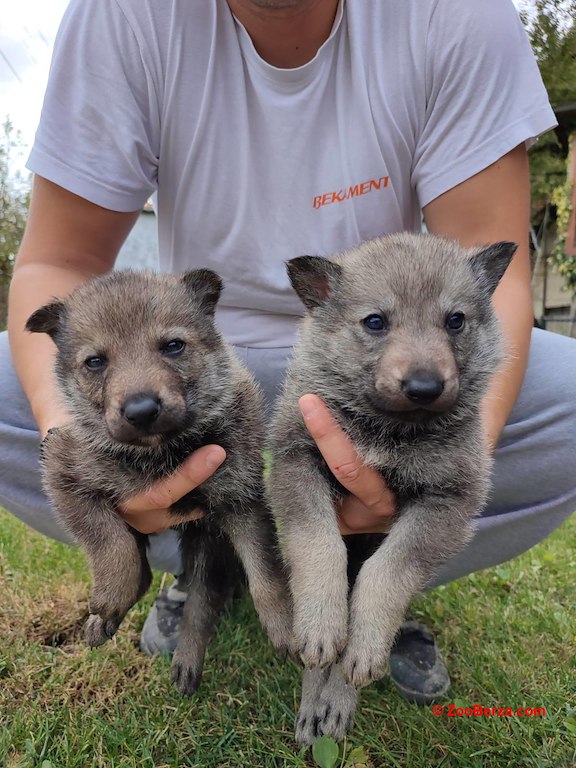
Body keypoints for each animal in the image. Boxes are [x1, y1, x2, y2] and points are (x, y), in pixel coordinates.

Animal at [26, 270, 290, 696]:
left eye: (173, 346)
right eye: (95, 362)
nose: (141, 410)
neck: (163, 453)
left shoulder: (242, 499)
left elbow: (265, 572)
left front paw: (285, 626)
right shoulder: (64, 472)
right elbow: (110, 542)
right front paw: (111, 597)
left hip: (206, 544)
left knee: (202, 600)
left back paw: (186, 663)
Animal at [268, 234, 516, 744]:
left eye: (455, 320)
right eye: (375, 322)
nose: (424, 386)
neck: (389, 430)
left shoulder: (447, 502)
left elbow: (387, 572)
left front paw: (363, 649)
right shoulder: (294, 461)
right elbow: (319, 544)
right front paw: (320, 625)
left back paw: (334, 704)